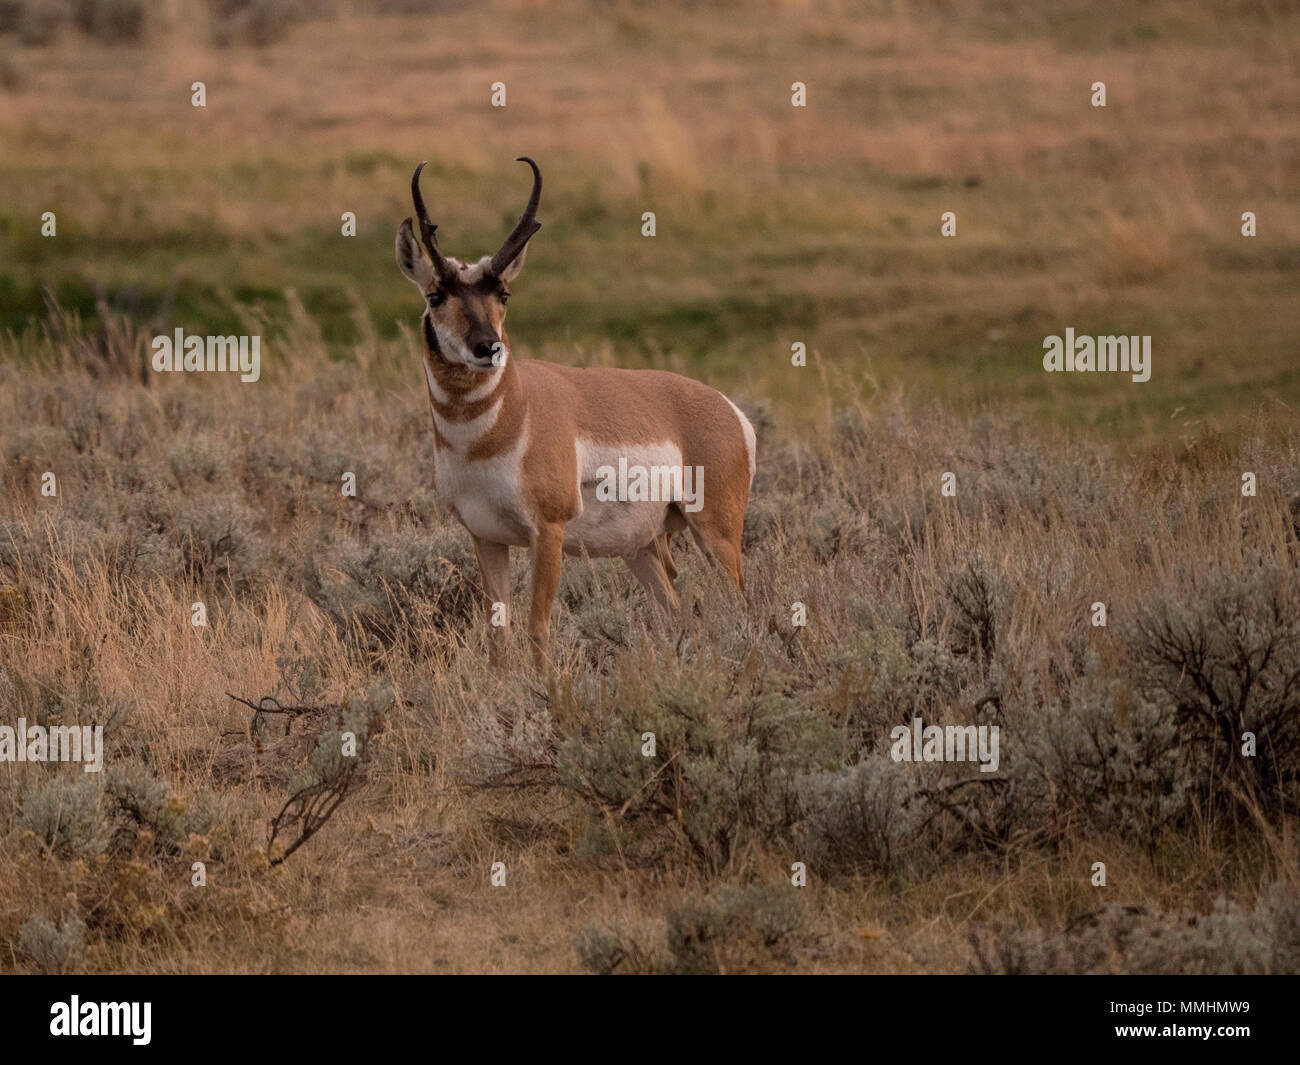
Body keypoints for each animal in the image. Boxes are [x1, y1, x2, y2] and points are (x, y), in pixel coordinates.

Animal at [396, 158, 756, 668]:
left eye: (504, 294)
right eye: (435, 296)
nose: (489, 348)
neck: (495, 427)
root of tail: (727, 408)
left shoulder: (548, 534)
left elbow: (538, 630)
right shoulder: (486, 538)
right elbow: (498, 638)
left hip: (716, 534)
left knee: (739, 607)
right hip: (642, 547)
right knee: (675, 609)